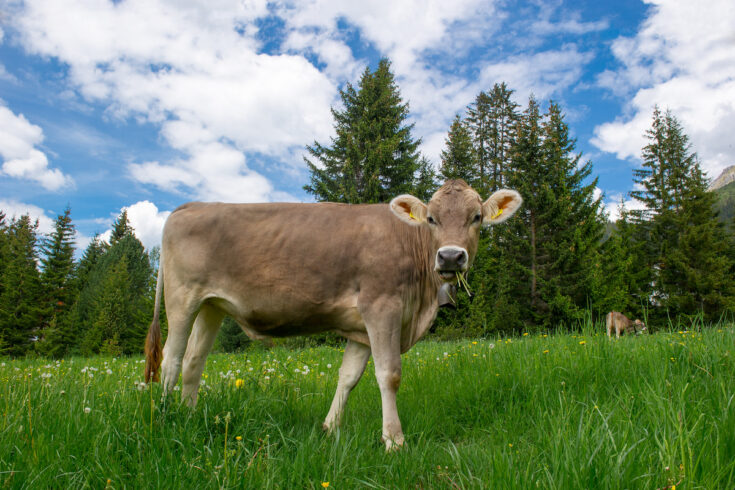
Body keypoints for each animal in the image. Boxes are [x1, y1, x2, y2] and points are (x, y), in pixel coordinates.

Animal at [144, 180, 522, 450]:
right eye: (431, 218)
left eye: (476, 218)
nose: (450, 257)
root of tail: (192, 205)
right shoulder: (382, 307)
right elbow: (389, 375)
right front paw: (394, 440)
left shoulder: (362, 328)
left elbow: (349, 377)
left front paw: (329, 428)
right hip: (182, 298)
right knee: (172, 360)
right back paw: (163, 418)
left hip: (211, 305)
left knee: (193, 362)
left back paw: (189, 416)